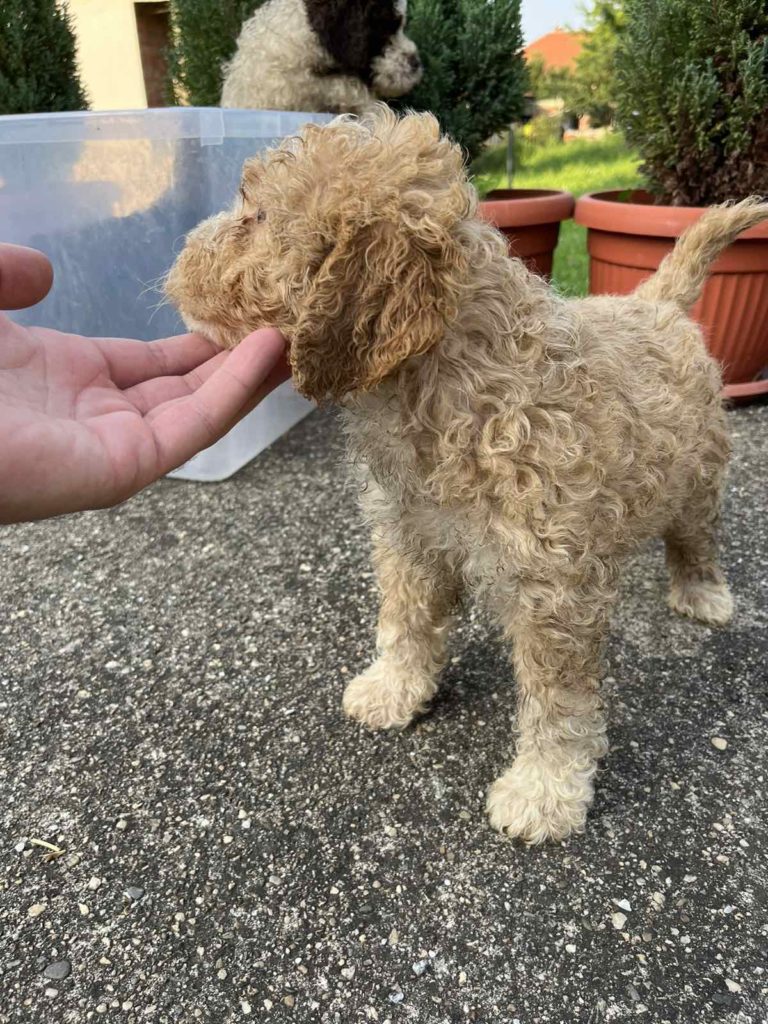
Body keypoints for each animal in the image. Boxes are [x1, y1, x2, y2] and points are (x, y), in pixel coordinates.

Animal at [166, 110, 768, 839]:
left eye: (255, 214)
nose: (175, 260)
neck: (451, 389)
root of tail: (657, 304)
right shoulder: (408, 535)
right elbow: (405, 621)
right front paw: (394, 689)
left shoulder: (553, 586)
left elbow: (558, 700)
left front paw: (545, 790)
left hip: (702, 470)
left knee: (696, 534)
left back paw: (702, 592)